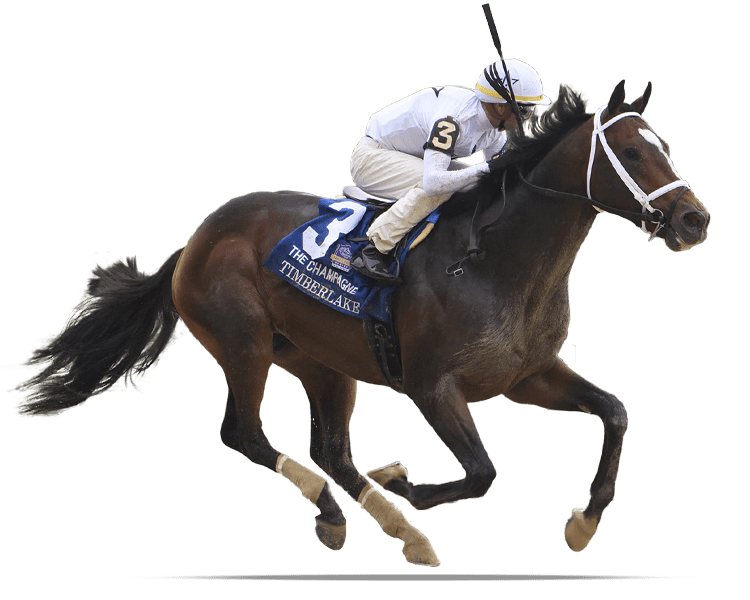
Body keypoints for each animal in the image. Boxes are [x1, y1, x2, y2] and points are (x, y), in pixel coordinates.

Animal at [8, 80, 710, 567]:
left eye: (665, 146)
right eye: (629, 151)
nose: (693, 219)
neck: (498, 260)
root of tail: (199, 235)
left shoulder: (526, 375)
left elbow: (615, 413)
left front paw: (584, 522)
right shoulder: (433, 386)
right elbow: (482, 472)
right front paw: (402, 481)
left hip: (319, 360)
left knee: (331, 451)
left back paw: (393, 528)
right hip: (244, 341)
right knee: (246, 435)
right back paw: (342, 509)